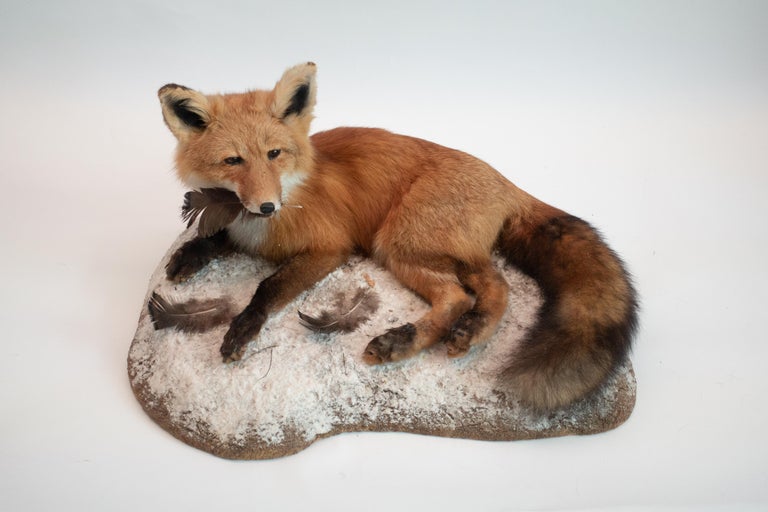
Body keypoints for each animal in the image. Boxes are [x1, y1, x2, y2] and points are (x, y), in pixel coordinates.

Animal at [154, 62, 638, 411]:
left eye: (274, 154)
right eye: (233, 160)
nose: (268, 206)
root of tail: (504, 180)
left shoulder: (329, 248)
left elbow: (268, 287)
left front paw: (242, 328)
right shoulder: (242, 223)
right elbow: (216, 236)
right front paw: (187, 256)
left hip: (401, 240)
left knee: (480, 291)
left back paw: (421, 338)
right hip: (418, 252)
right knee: (476, 291)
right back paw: (444, 335)